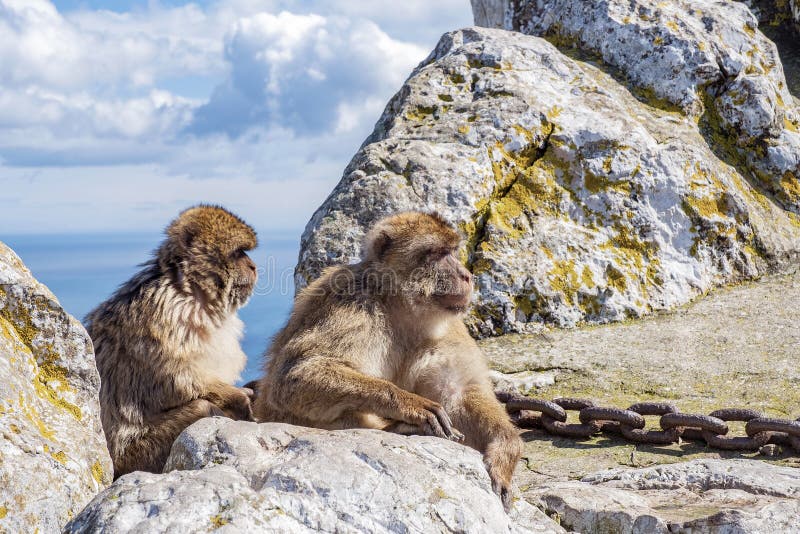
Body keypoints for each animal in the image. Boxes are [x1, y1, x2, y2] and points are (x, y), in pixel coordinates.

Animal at [85, 205, 259, 478]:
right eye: (240, 253)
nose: (253, 266)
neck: (189, 290)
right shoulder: (162, 314)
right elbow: (174, 379)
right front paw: (239, 398)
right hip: (136, 456)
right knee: (202, 408)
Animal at [254, 212, 522, 509]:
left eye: (452, 251)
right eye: (438, 254)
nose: (466, 275)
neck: (398, 306)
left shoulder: (449, 330)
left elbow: (456, 394)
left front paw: (505, 446)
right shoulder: (349, 305)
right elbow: (294, 376)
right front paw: (410, 404)